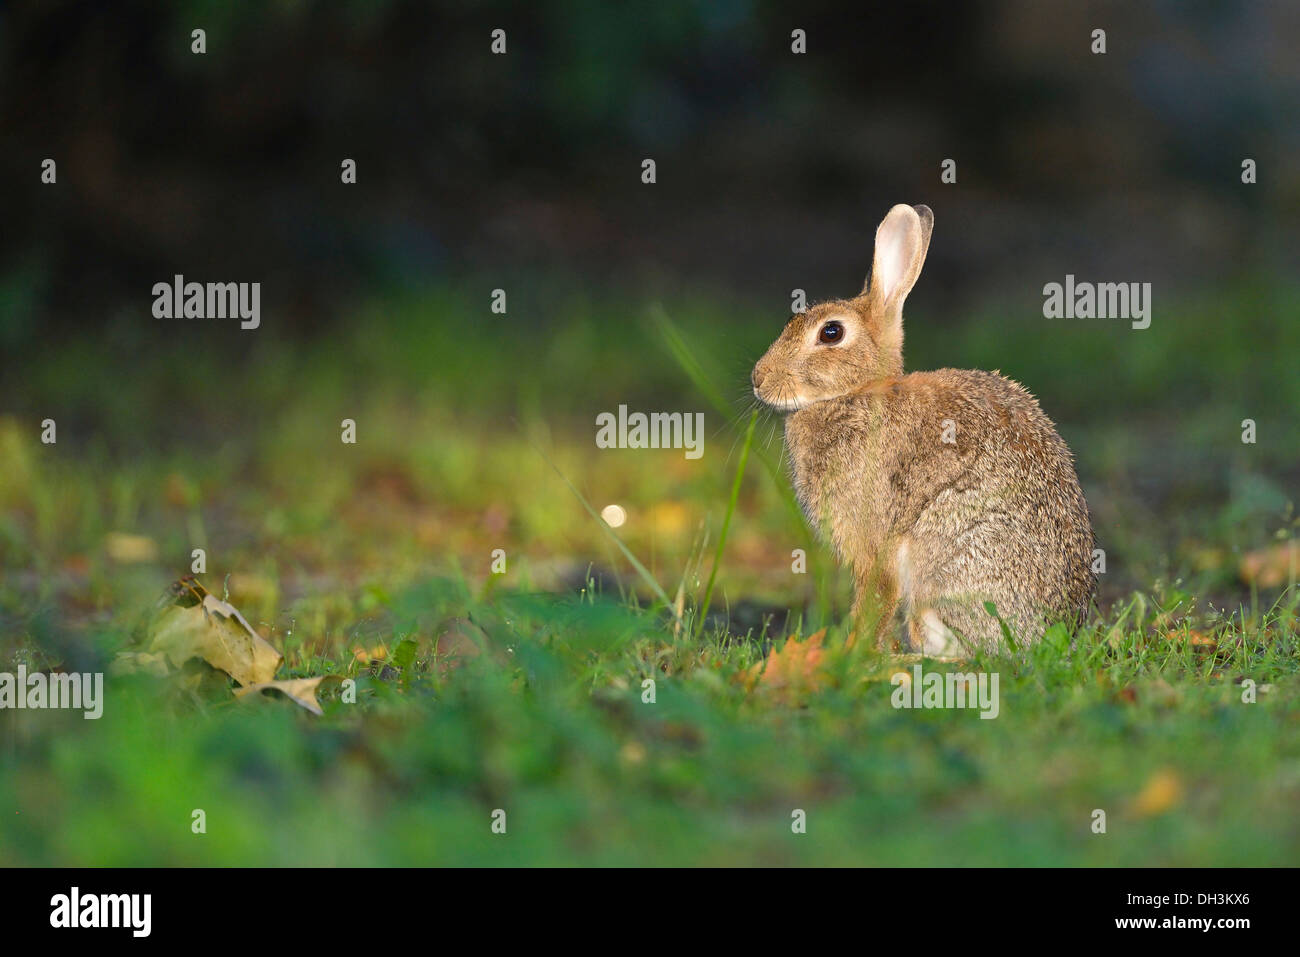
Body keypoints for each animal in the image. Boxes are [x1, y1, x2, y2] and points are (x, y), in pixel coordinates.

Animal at [751, 204, 1095, 654]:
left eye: (831, 332)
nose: (758, 378)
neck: (860, 393)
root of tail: (1055, 634)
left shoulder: (873, 543)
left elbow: (876, 597)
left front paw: (851, 652)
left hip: (943, 574)